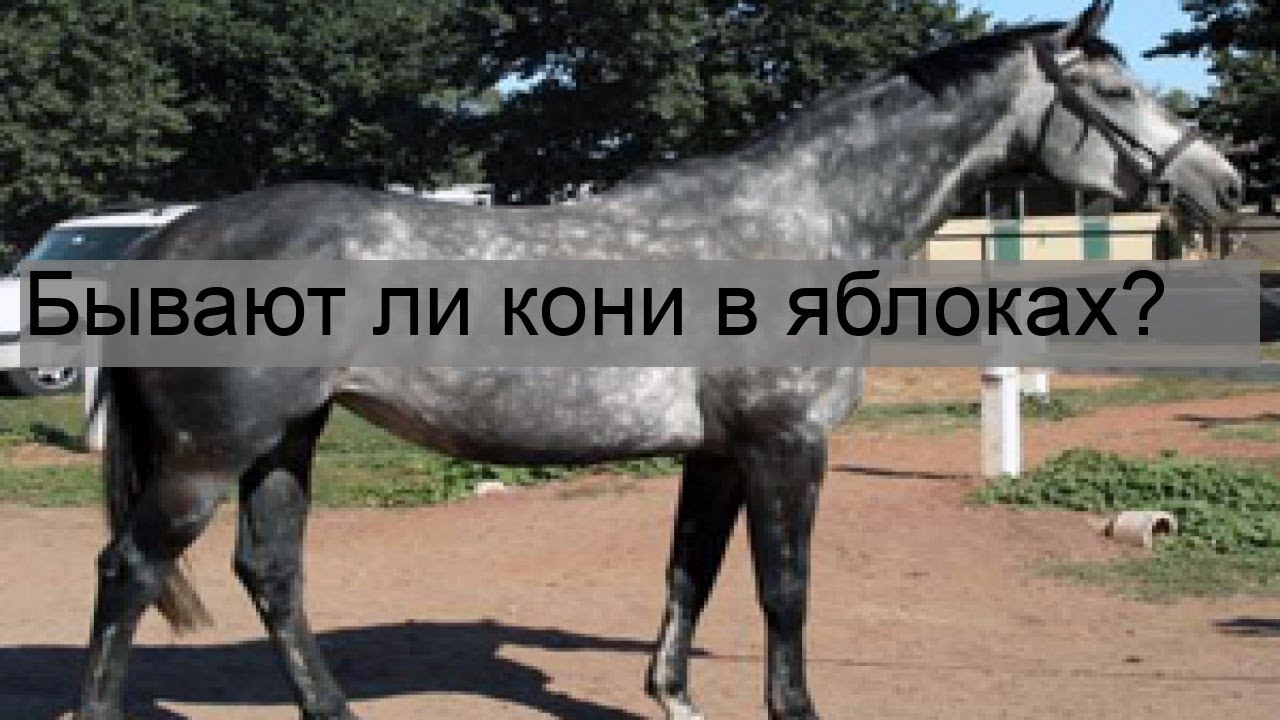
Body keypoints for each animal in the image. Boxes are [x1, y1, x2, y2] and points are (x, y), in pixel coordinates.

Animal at [74, 2, 1242, 719]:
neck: (793, 221)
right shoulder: (783, 446)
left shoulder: (716, 452)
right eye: (1116, 95)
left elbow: (691, 569)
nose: (1224, 185)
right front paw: (793, 706)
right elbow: (783, 588)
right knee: (129, 572)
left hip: (285, 442)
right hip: (205, 458)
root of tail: (162, 243)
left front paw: (673, 693)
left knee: (271, 572)